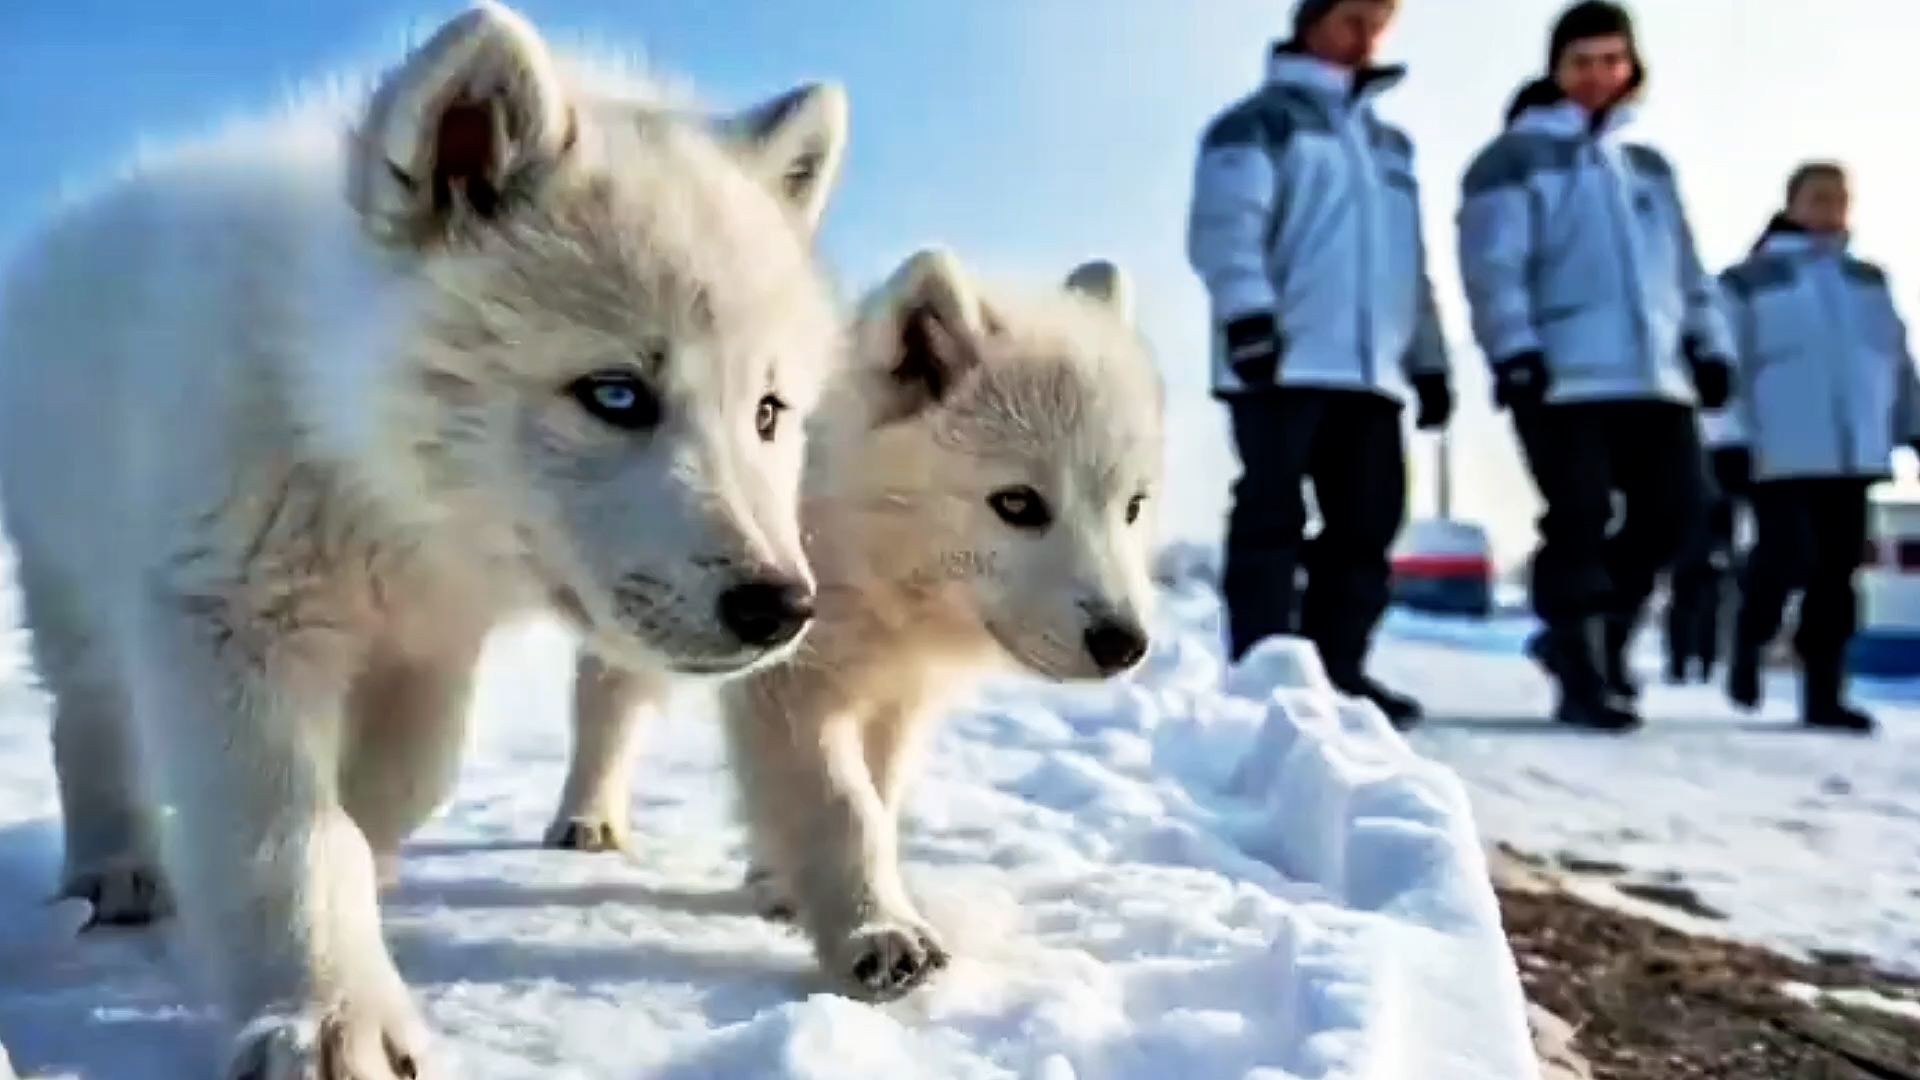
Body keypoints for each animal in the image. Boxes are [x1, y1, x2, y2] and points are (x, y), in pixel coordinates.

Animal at [0, 2, 851, 1075]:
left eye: (770, 412)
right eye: (616, 394)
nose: (783, 607)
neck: (366, 481)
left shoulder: (430, 644)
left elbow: (398, 787)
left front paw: (368, 890)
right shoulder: (223, 617)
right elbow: (287, 832)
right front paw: (331, 1018)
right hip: (69, 575)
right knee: (86, 718)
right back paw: (114, 870)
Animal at [545, 247, 1168, 1000]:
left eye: (1132, 507)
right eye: (1018, 503)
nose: (1124, 643)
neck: (863, 551)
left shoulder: (893, 700)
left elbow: (877, 797)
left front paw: (812, 892)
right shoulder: (787, 684)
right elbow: (844, 807)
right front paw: (880, 937)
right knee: (604, 703)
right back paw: (587, 818)